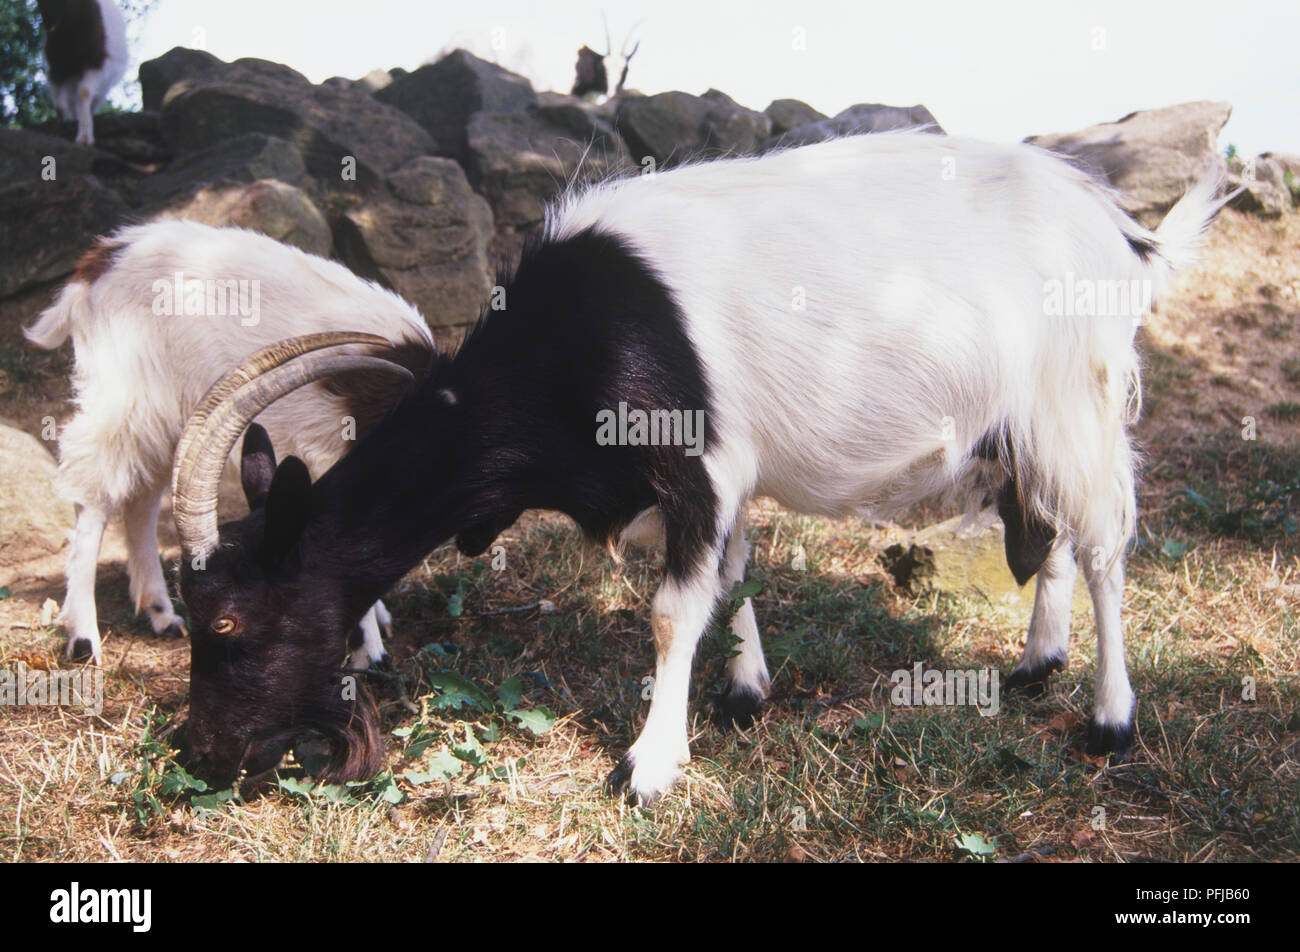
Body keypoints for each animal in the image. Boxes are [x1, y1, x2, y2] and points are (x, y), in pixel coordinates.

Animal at [25, 219, 433, 666]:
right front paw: (369, 654)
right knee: (96, 497)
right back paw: (84, 637)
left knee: (142, 500)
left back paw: (160, 613)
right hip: (127, 400)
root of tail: (103, 258)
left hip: (171, 416)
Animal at [35, 0, 128, 146]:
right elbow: (59, 106)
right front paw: (61, 129)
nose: (51, 27)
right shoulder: (57, 68)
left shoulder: (96, 63)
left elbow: (84, 92)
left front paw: (84, 137)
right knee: (72, 102)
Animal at [168, 133, 1229, 803]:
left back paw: (1109, 718)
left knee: (1104, 542)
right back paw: (1040, 659)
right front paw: (746, 693)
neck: (581, 339)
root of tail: (1121, 232)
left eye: (228, 621)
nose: (206, 756)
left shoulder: (695, 458)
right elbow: (737, 572)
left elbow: (677, 607)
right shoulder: (729, 476)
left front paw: (651, 765)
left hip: (1074, 393)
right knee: (1053, 528)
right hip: (1030, 423)